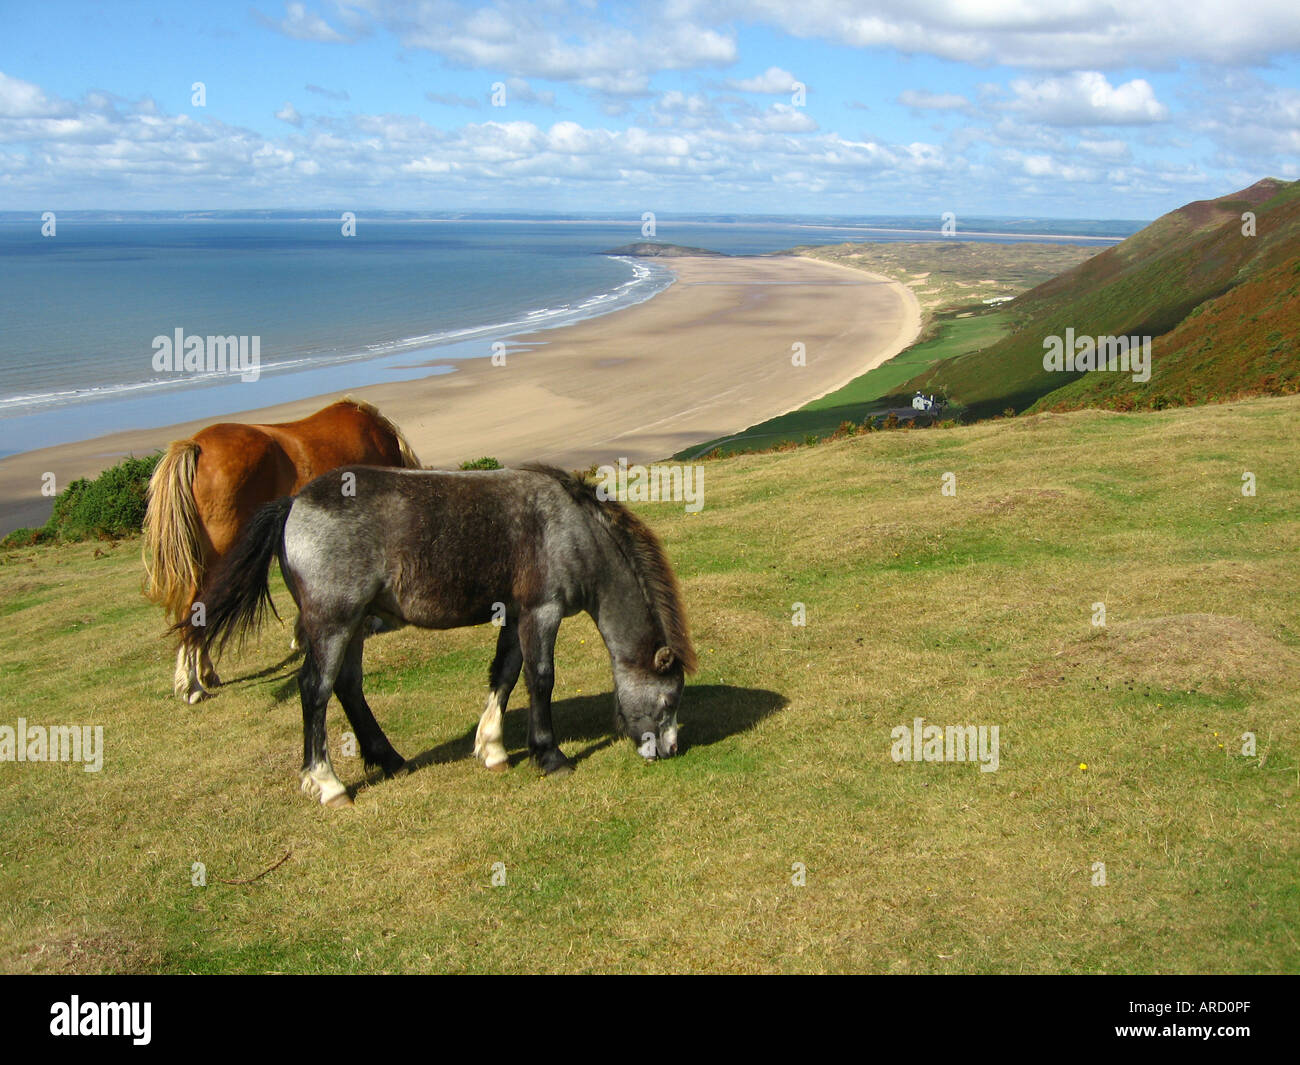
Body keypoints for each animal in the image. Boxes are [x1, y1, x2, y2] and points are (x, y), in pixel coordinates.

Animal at [179, 463, 697, 807]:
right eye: (669, 701)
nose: (672, 750)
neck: (571, 528)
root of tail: (293, 505)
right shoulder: (541, 612)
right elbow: (540, 679)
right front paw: (549, 755)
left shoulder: (514, 615)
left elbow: (504, 675)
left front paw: (492, 748)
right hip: (332, 624)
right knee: (316, 690)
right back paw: (328, 783)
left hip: (356, 625)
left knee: (348, 687)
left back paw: (388, 758)